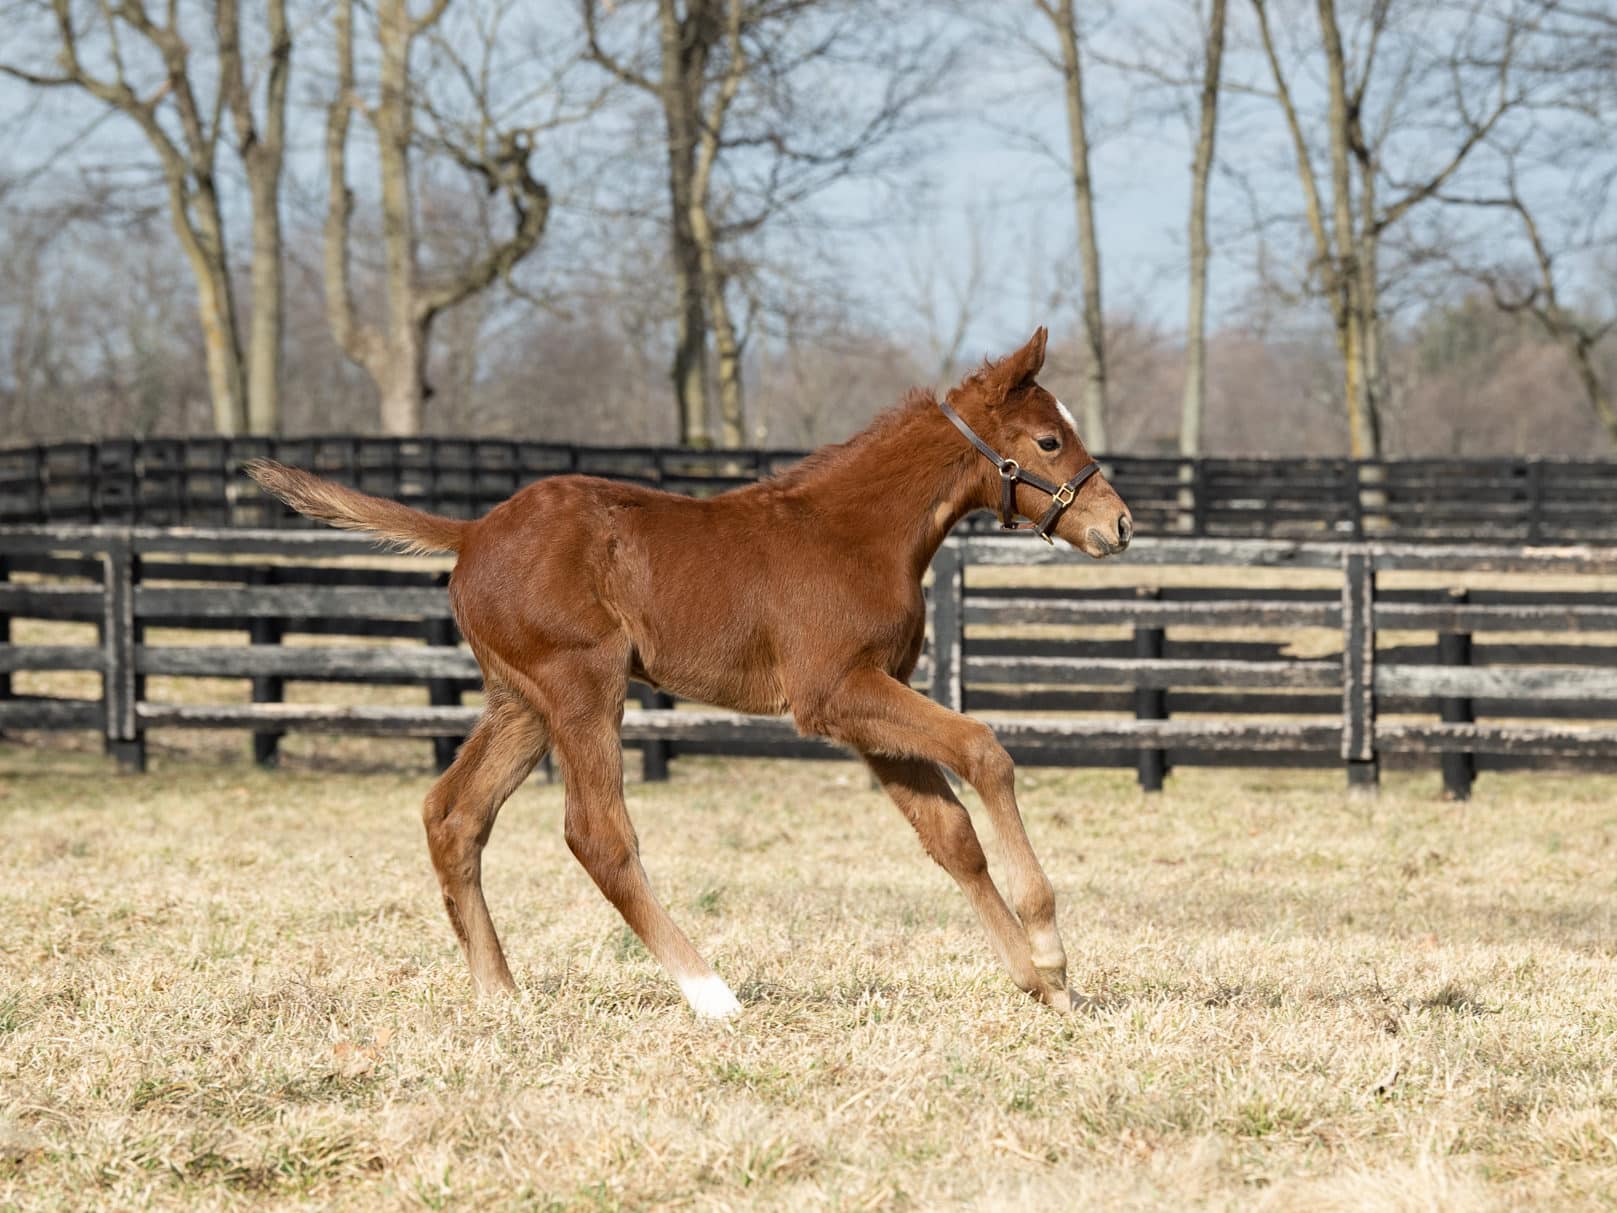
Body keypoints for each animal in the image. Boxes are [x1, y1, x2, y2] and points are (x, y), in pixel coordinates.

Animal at [247, 327, 1133, 1017]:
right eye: (1048, 441)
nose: (1119, 525)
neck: (854, 533)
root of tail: (470, 532)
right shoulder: (834, 693)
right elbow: (985, 749)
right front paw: (1050, 947)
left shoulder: (868, 705)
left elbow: (949, 837)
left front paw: (1043, 985)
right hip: (581, 688)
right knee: (595, 833)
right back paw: (709, 992)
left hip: (520, 704)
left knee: (453, 814)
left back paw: (499, 992)